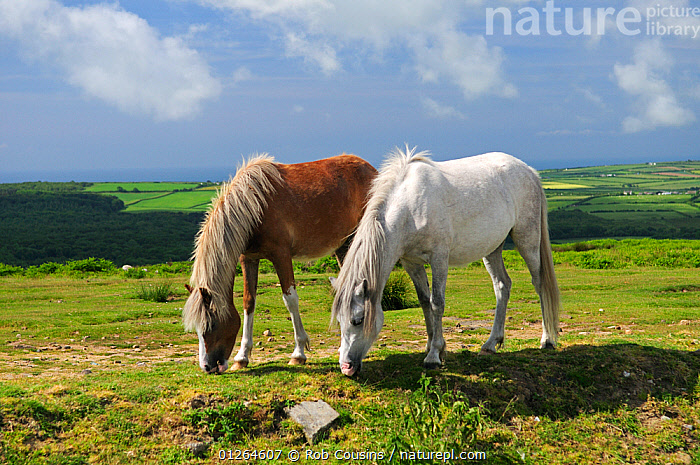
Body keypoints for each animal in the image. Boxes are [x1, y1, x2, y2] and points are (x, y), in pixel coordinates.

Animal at [183, 154, 377, 374]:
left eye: (212, 325)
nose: (207, 366)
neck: (255, 205)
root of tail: (370, 169)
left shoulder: (281, 255)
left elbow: (290, 300)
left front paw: (298, 353)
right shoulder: (248, 258)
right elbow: (248, 302)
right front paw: (242, 357)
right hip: (343, 246)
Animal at [331, 147, 561, 376]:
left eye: (358, 320)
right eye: (340, 320)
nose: (346, 367)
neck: (410, 208)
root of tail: (529, 170)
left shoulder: (439, 258)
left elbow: (437, 303)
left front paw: (434, 355)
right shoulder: (411, 263)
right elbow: (424, 301)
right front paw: (431, 345)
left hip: (527, 239)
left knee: (539, 283)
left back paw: (547, 340)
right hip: (492, 249)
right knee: (502, 286)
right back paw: (491, 344)